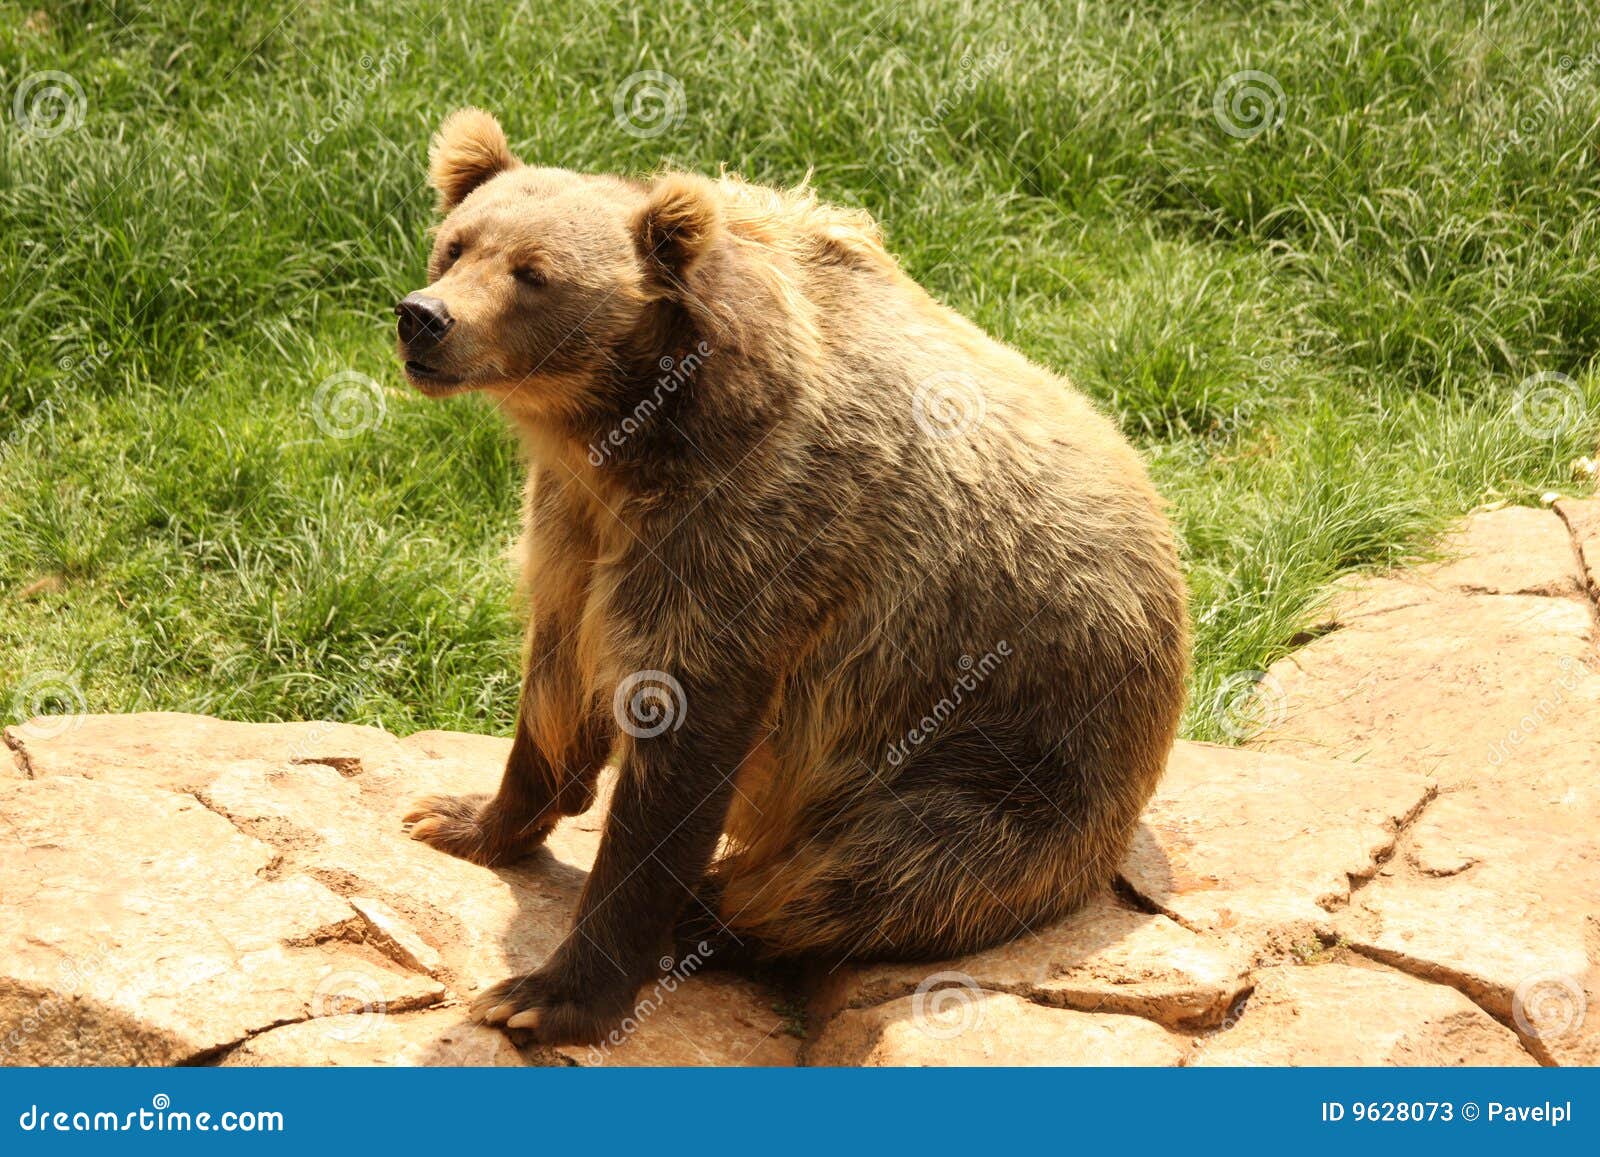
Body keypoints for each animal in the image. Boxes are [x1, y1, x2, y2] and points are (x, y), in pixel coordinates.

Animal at [396, 108, 1189, 1046]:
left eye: (534, 274)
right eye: (456, 244)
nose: (423, 318)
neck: (621, 435)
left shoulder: (753, 535)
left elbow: (680, 745)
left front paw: (546, 992)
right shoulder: (573, 530)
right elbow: (555, 687)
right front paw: (461, 817)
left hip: (1008, 766)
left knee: (873, 873)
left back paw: (709, 913)